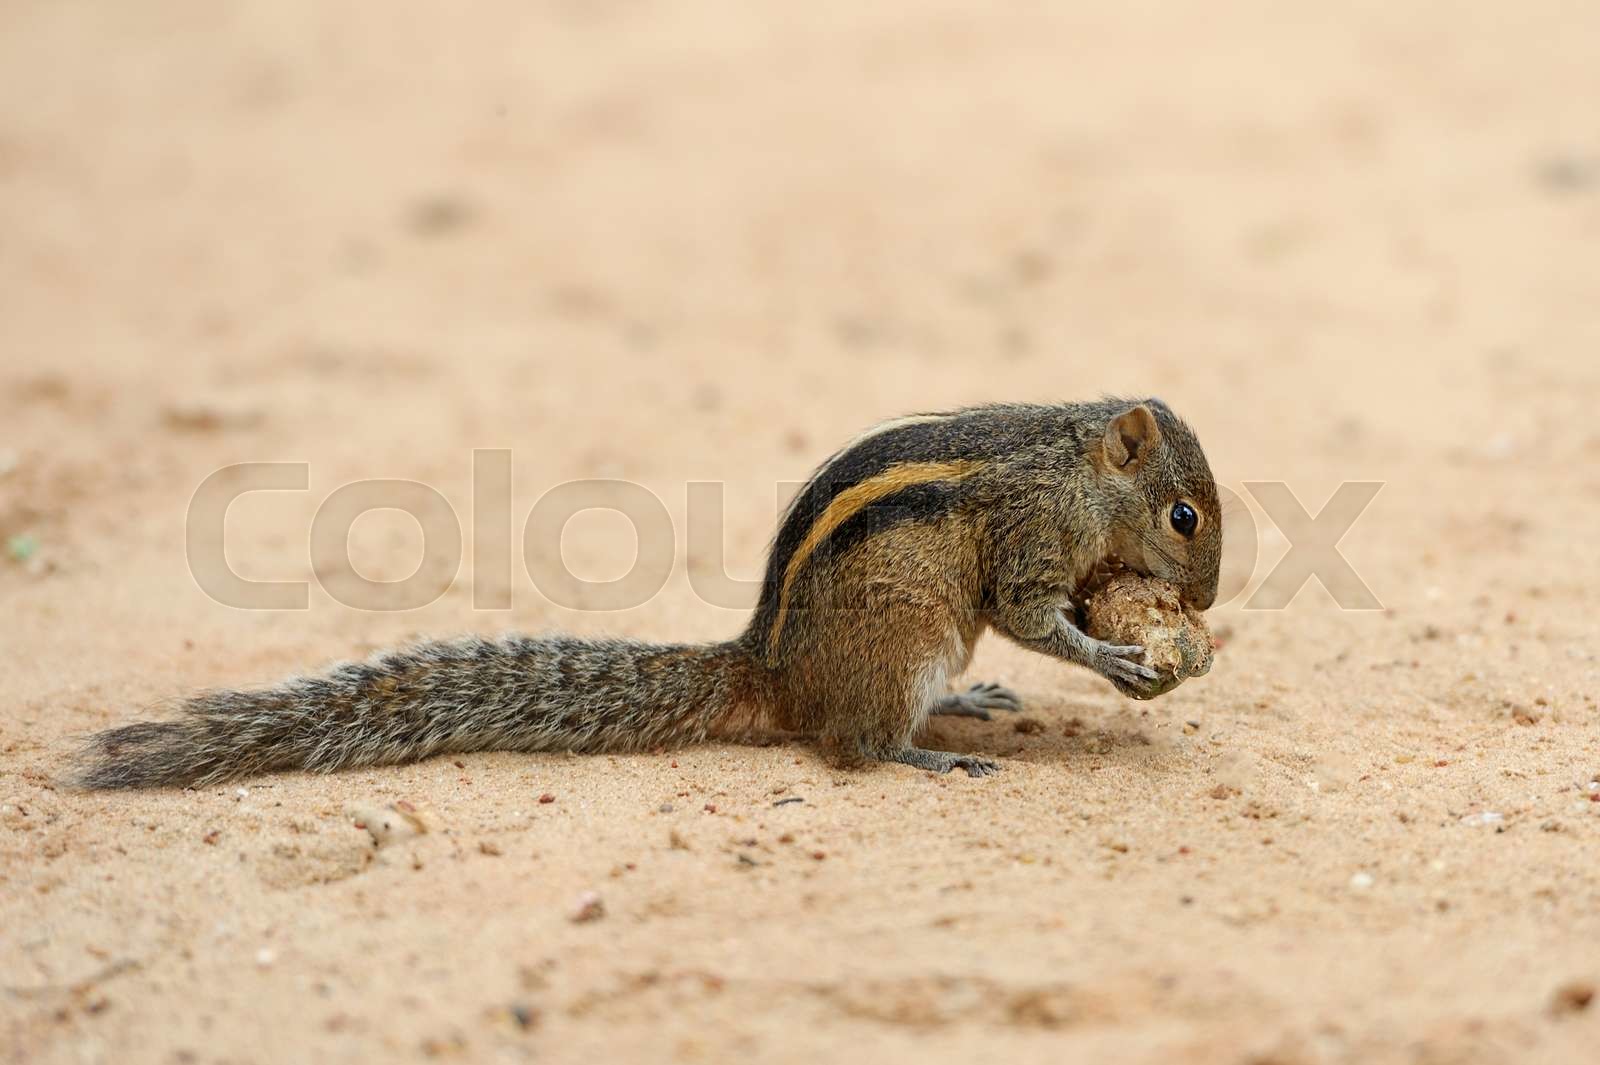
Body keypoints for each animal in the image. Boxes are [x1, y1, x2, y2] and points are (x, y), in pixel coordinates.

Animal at [74, 398, 1221, 788]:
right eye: (1184, 517)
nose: (1207, 599)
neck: (1075, 464)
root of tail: (770, 666)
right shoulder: (1029, 542)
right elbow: (1034, 618)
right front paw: (1120, 657)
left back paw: (966, 706)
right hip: (902, 649)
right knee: (855, 745)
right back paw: (932, 756)